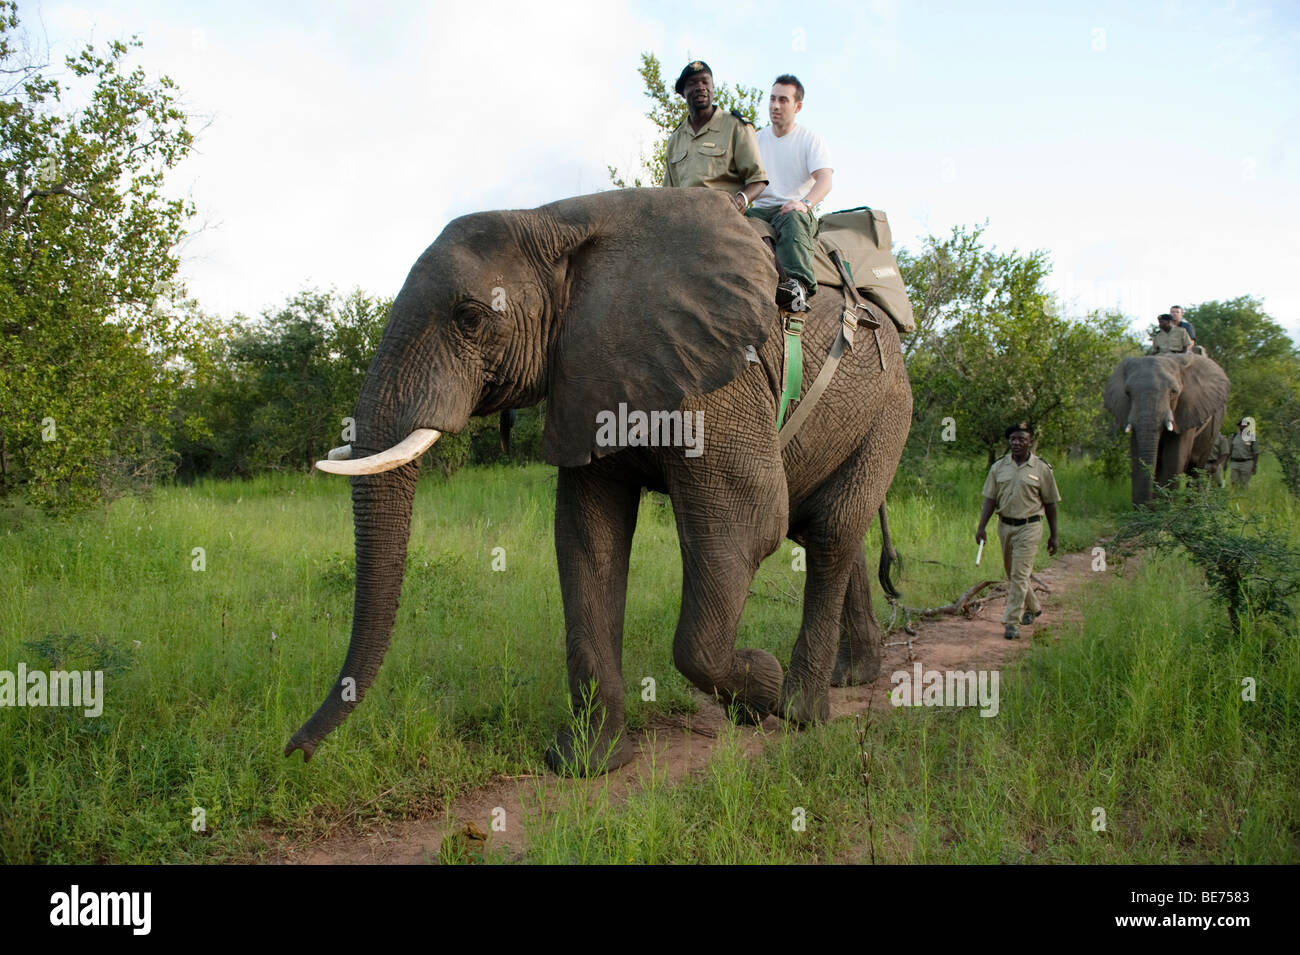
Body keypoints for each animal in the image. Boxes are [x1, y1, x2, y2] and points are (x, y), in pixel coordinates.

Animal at [284, 187, 913, 775]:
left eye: (470, 318)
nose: (295, 751)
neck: (554, 221)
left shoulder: (721, 382)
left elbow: (744, 530)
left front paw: (760, 686)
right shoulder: (591, 369)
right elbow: (588, 539)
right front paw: (587, 765)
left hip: (889, 405)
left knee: (830, 530)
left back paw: (801, 710)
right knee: (828, 527)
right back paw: (851, 678)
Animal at [1103, 352, 1230, 507]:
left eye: (1174, 392)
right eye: (1127, 393)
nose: (1148, 507)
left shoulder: (1187, 410)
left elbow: (1174, 458)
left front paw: (1163, 509)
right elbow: (1137, 456)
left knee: (1196, 468)